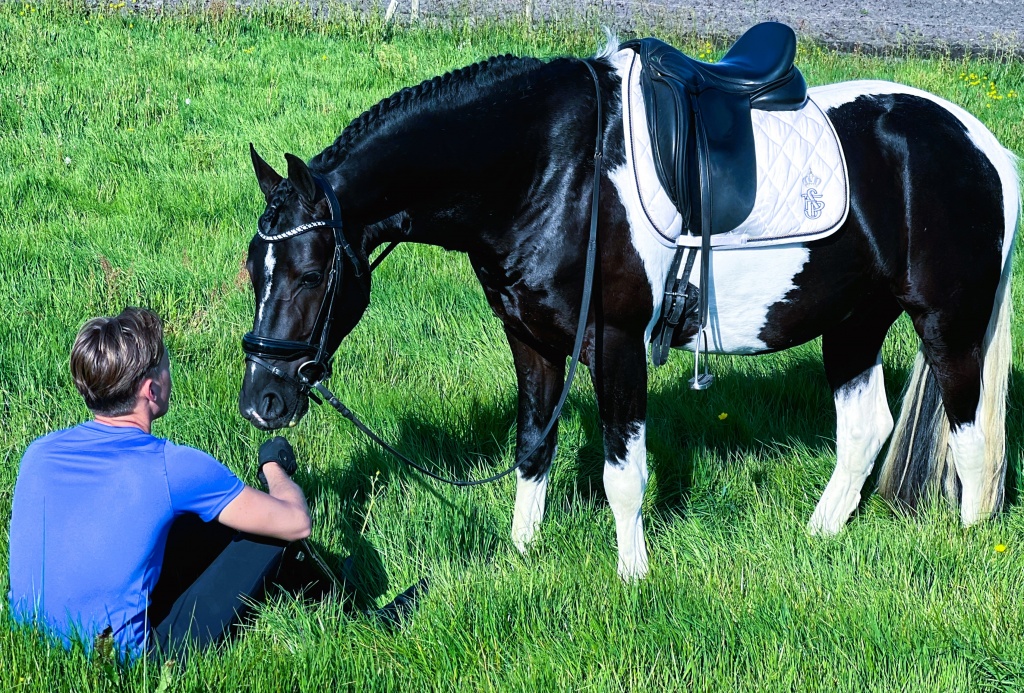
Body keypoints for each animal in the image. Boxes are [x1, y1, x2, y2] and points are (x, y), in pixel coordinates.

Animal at [237, 34, 1019, 581]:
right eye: (254, 269)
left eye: (311, 273)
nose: (261, 401)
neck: (553, 170)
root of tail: (981, 143)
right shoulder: (531, 341)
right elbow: (533, 448)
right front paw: (523, 555)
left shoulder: (615, 343)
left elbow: (623, 473)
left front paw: (632, 576)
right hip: (853, 324)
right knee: (865, 429)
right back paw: (819, 534)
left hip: (949, 326)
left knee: (972, 435)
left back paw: (970, 543)